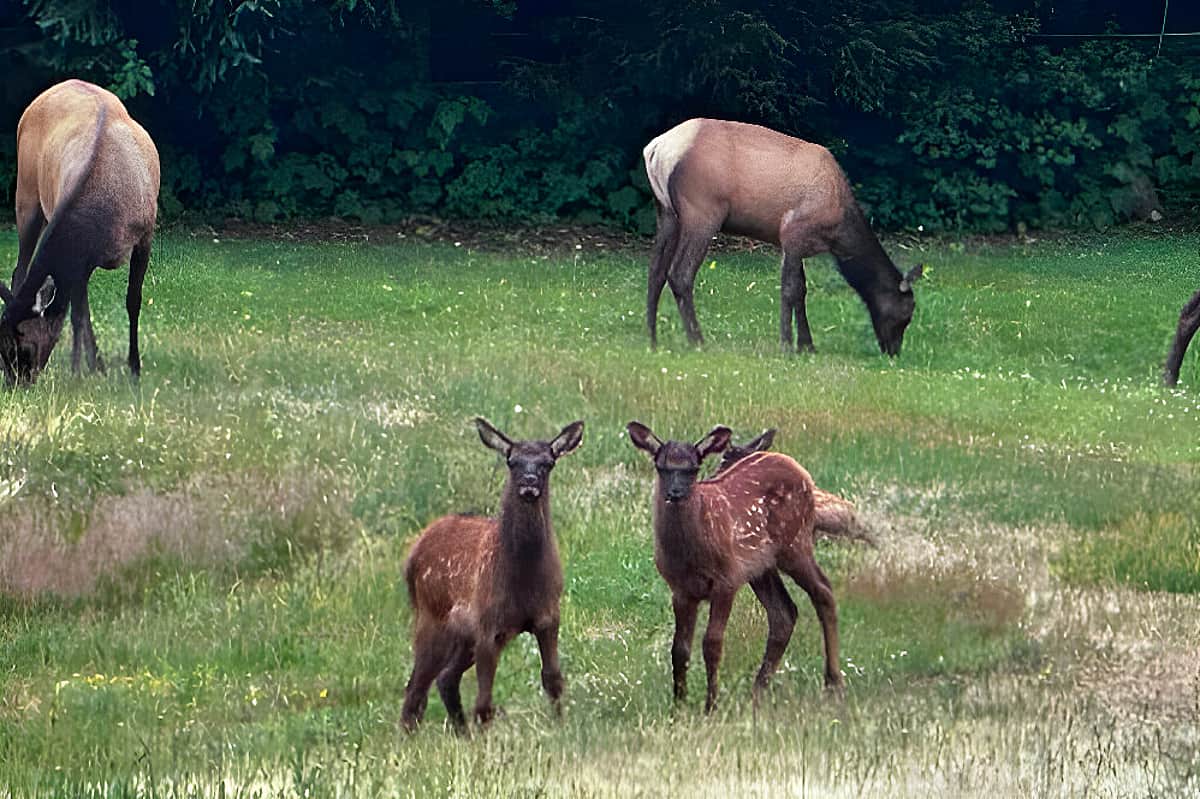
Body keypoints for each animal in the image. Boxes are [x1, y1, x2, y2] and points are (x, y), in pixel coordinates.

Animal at [0, 79, 160, 385]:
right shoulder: (80, 257)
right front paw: (85, 368)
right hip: (26, 192)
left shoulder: (144, 235)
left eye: (24, 347)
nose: (15, 383)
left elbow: (131, 301)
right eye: (1, 348)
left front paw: (132, 369)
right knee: (20, 268)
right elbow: (78, 313)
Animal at [401, 418, 584, 732]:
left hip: (462, 637)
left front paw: (561, 726)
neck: (523, 579)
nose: (529, 483)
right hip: (432, 618)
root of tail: (413, 554)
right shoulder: (489, 625)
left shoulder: (548, 618)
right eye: (512, 461)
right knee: (415, 688)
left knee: (445, 678)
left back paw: (462, 733)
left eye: (548, 463)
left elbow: (553, 681)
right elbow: (484, 703)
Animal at [627, 421, 842, 713]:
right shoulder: (680, 589)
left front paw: (711, 705)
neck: (690, 555)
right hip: (761, 567)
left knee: (824, 591)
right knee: (784, 612)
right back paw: (758, 690)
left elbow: (712, 644)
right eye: (661, 466)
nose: (675, 493)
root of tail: (802, 472)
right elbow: (679, 649)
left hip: (795, 543)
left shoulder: (726, 579)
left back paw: (833, 682)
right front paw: (678, 705)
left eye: (693, 469)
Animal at [643, 118, 923, 355]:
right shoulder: (792, 233)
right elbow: (790, 289)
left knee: (655, 271)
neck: (838, 234)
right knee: (679, 273)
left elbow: (801, 290)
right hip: (702, 212)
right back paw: (697, 340)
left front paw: (807, 345)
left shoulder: (795, 244)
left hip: (665, 213)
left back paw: (652, 340)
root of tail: (656, 150)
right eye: (906, 314)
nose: (893, 352)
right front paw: (787, 345)